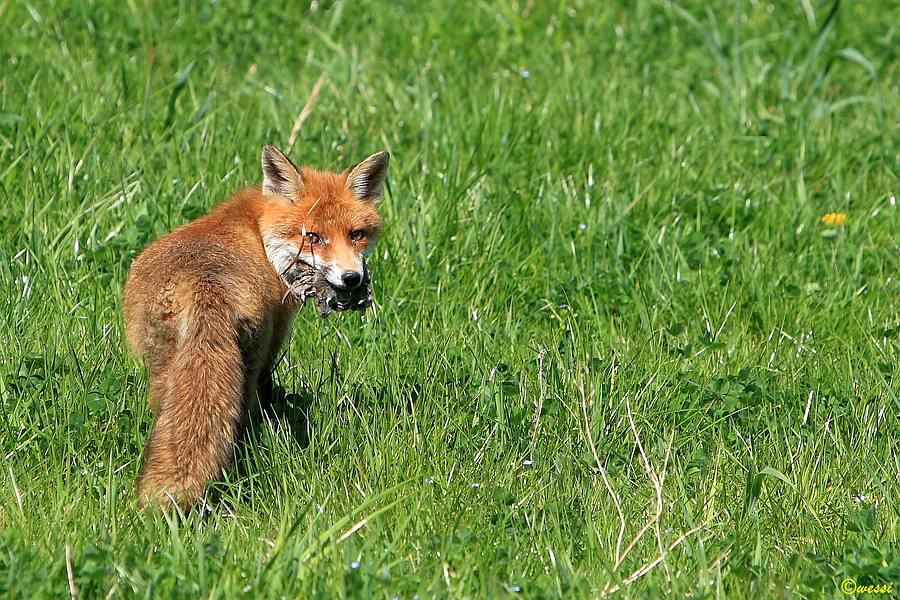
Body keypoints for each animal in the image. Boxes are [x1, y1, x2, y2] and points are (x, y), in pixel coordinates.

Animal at [122, 145, 386, 510]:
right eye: (313, 237)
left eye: (356, 235)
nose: (352, 278)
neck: (260, 232)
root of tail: (205, 287)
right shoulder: (275, 337)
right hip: (249, 360)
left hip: (163, 365)